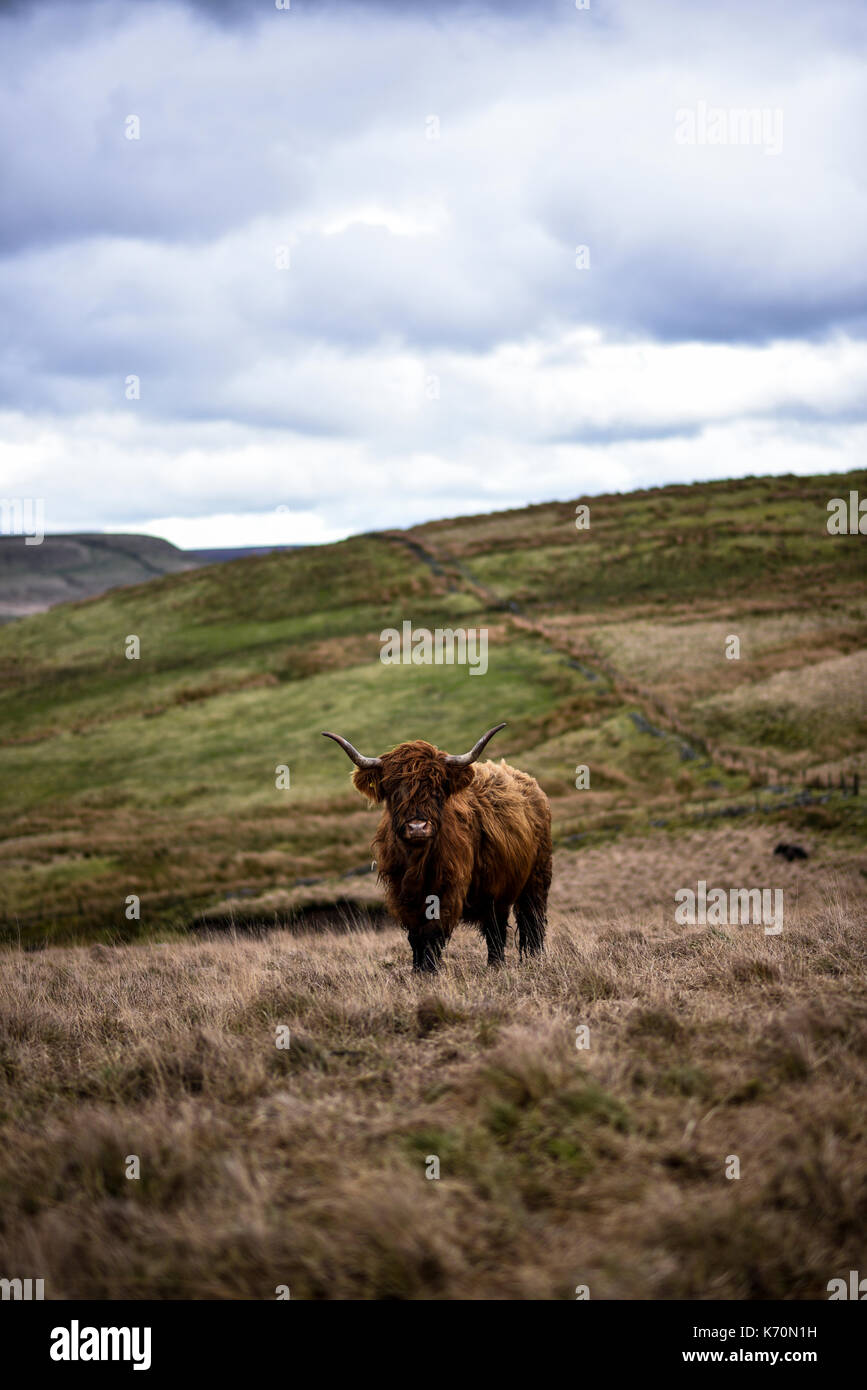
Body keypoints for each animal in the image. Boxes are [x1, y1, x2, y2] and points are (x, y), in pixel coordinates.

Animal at [322, 723, 552, 972]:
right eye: (393, 791)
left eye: (437, 789)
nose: (417, 827)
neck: (417, 861)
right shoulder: (401, 893)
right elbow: (415, 935)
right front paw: (417, 970)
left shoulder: (448, 889)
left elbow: (432, 931)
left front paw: (430, 970)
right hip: (496, 886)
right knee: (496, 926)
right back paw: (496, 964)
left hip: (537, 877)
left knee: (531, 920)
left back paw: (531, 960)